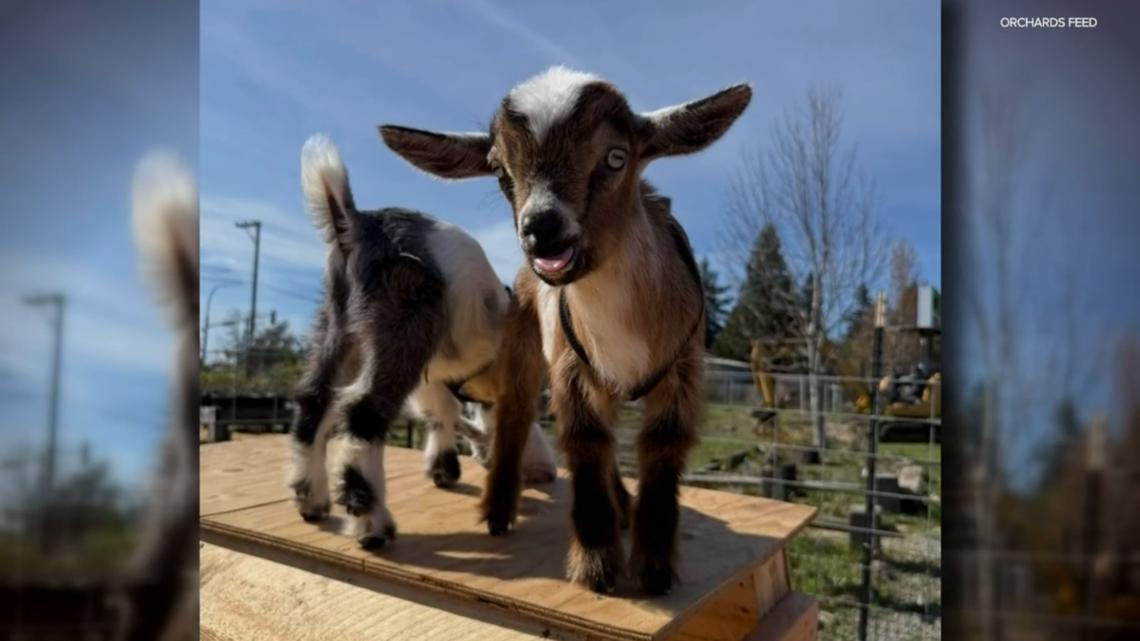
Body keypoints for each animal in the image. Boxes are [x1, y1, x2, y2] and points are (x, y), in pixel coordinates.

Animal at [288, 135, 555, 549]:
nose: (548, 474)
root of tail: (357, 224)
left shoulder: (437, 377)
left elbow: (441, 413)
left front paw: (443, 471)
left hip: (341, 325)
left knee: (315, 398)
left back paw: (311, 502)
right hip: (405, 322)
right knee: (363, 411)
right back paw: (372, 526)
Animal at [380, 67, 751, 594]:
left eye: (617, 157)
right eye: (500, 172)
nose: (542, 229)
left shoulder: (683, 370)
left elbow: (661, 445)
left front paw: (654, 569)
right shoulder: (569, 367)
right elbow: (584, 439)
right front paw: (595, 565)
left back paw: (623, 508)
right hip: (523, 344)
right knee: (515, 417)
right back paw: (499, 512)